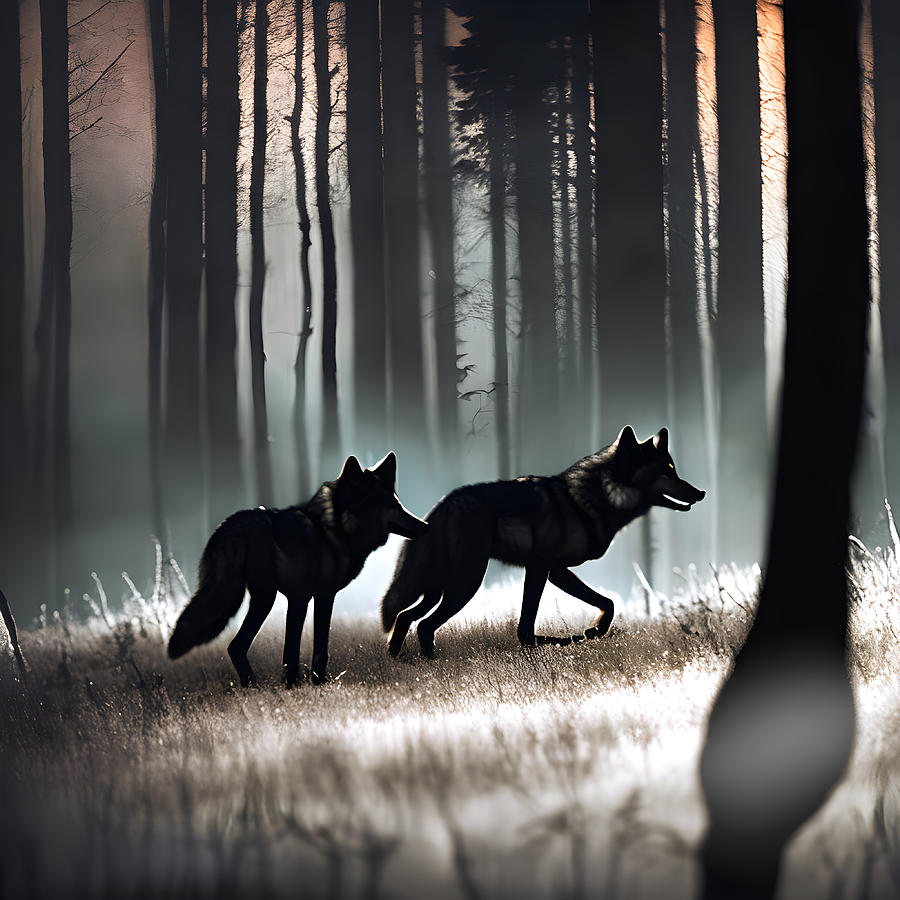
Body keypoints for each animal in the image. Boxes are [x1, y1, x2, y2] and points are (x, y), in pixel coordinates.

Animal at [168, 453, 428, 686]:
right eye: (394, 507)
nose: (425, 525)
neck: (338, 530)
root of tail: (232, 524)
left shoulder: (300, 598)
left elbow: (293, 652)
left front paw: (297, 686)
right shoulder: (318, 596)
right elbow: (312, 651)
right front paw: (311, 685)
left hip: (259, 599)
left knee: (236, 646)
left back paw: (251, 688)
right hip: (265, 599)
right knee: (236, 646)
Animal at [382, 426, 705, 657]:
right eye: (667, 471)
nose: (701, 492)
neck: (597, 497)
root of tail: (439, 507)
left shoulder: (556, 571)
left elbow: (608, 603)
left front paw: (594, 631)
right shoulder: (542, 567)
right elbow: (526, 629)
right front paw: (575, 637)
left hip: (439, 587)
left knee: (406, 618)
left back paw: (400, 662)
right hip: (465, 584)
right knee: (424, 625)